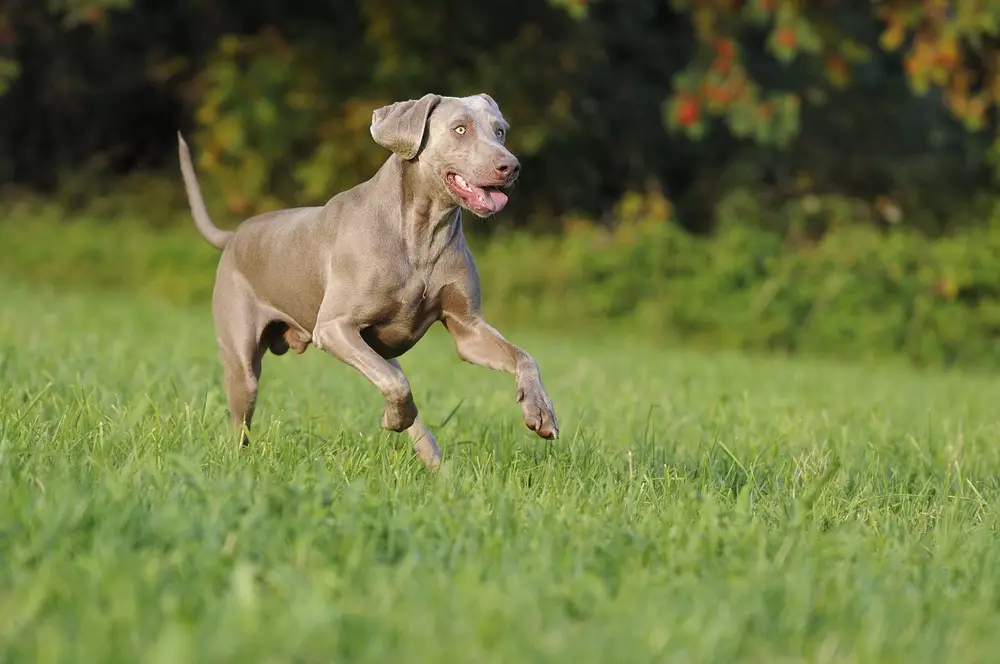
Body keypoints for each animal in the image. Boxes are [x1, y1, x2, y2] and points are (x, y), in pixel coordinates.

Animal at [177, 93, 560, 470]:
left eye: (500, 131)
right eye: (460, 129)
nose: (511, 166)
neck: (422, 232)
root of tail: (233, 236)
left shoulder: (468, 330)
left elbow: (524, 356)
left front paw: (540, 411)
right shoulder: (333, 328)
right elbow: (397, 385)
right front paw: (393, 419)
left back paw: (439, 467)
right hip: (242, 363)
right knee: (240, 421)